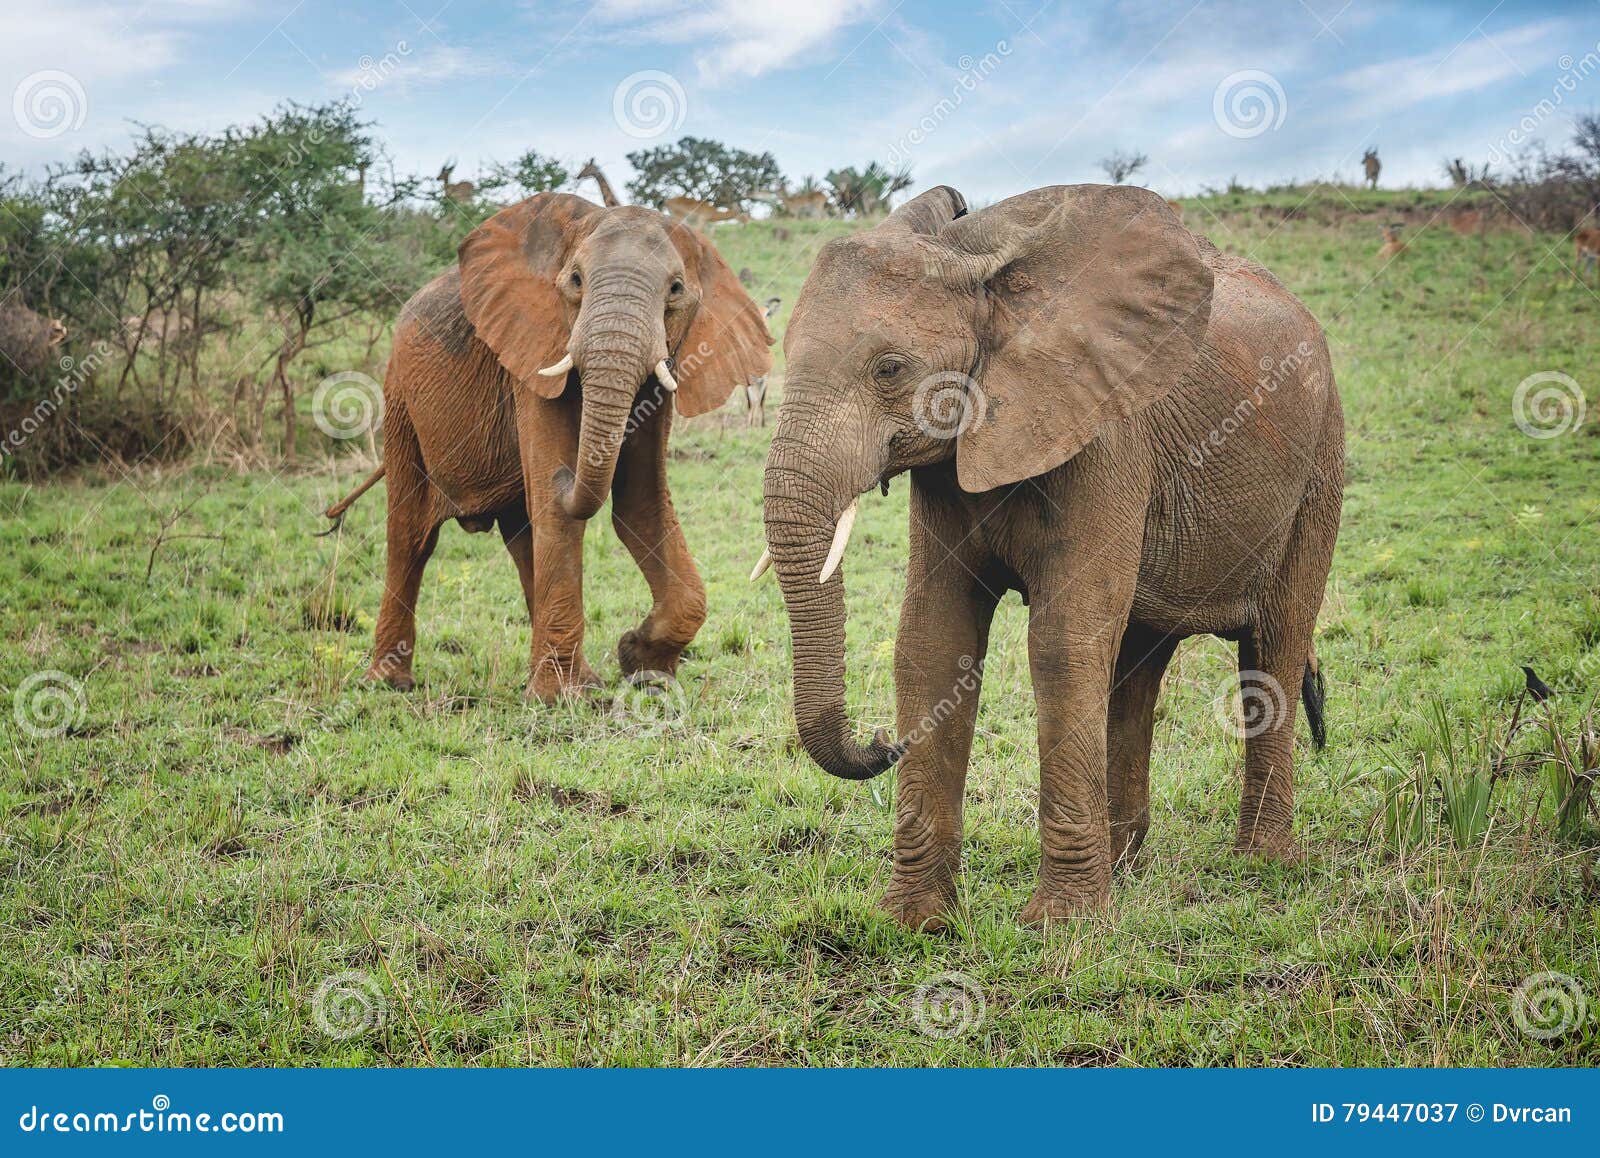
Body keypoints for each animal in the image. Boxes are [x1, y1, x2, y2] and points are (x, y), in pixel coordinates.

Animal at [326, 193, 772, 700]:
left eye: (676, 290)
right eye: (575, 281)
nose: (570, 470)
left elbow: (642, 504)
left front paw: (641, 667)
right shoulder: (532, 354)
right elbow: (561, 509)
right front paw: (563, 698)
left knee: (522, 538)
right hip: (400, 396)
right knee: (410, 537)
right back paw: (390, 683)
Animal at [755, 184, 1343, 929]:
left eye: (889, 369)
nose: (882, 742)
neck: (980, 267)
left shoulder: (1106, 435)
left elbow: (1061, 643)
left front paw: (1061, 927)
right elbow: (931, 638)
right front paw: (914, 921)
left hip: (1322, 460)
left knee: (1275, 640)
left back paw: (1261, 862)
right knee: (1135, 663)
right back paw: (1125, 869)